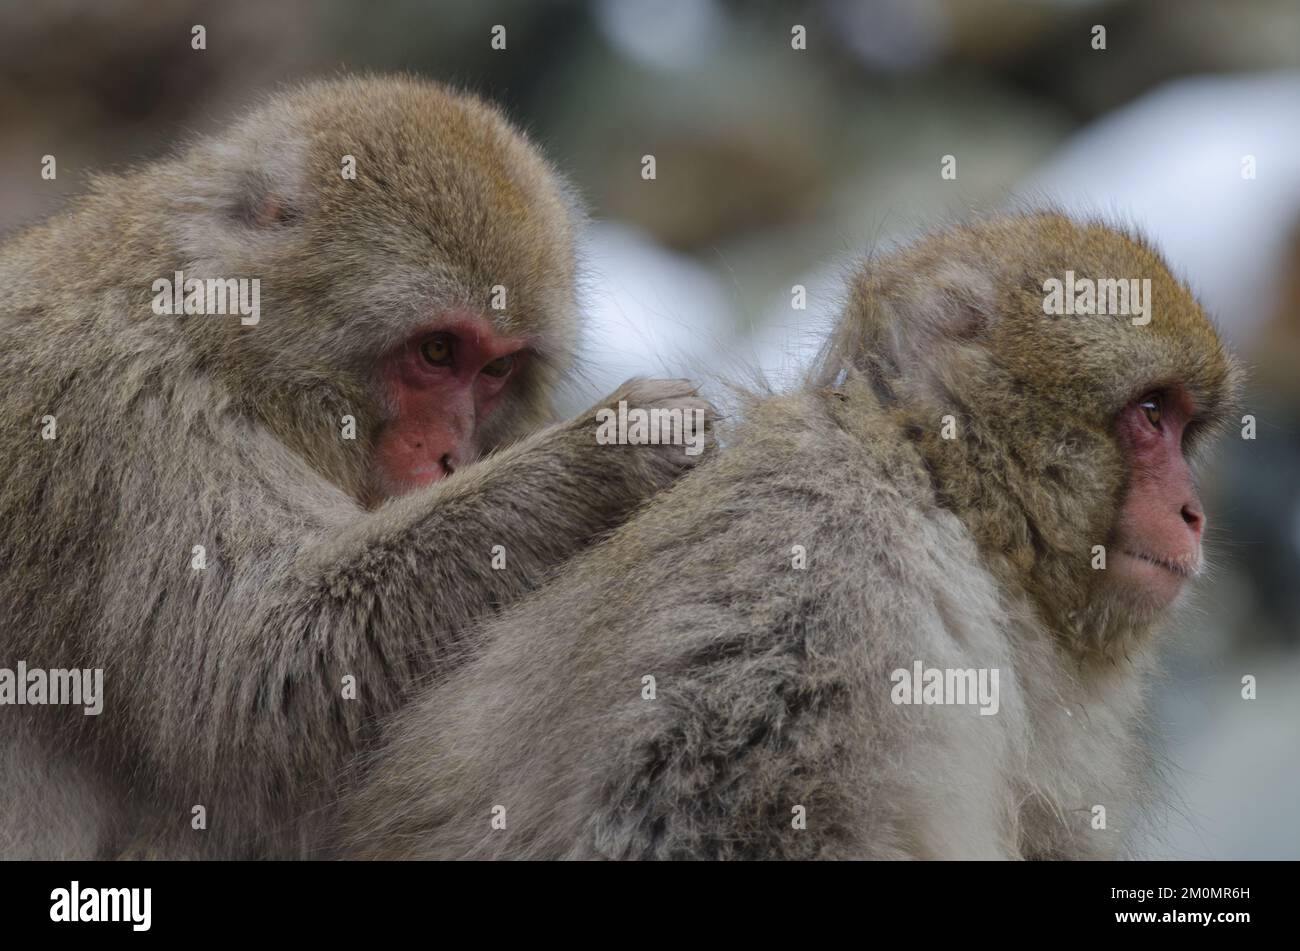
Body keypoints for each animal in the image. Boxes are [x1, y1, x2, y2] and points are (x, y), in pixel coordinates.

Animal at [0, 75, 714, 860]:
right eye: (437, 351)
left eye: (496, 370)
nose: (450, 456)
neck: (209, 336)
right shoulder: (125, 411)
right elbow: (251, 677)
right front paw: (611, 445)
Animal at [336, 212, 1242, 860]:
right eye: (1150, 413)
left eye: (1183, 426)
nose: (1195, 512)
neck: (943, 497)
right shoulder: (827, 582)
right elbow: (680, 819)